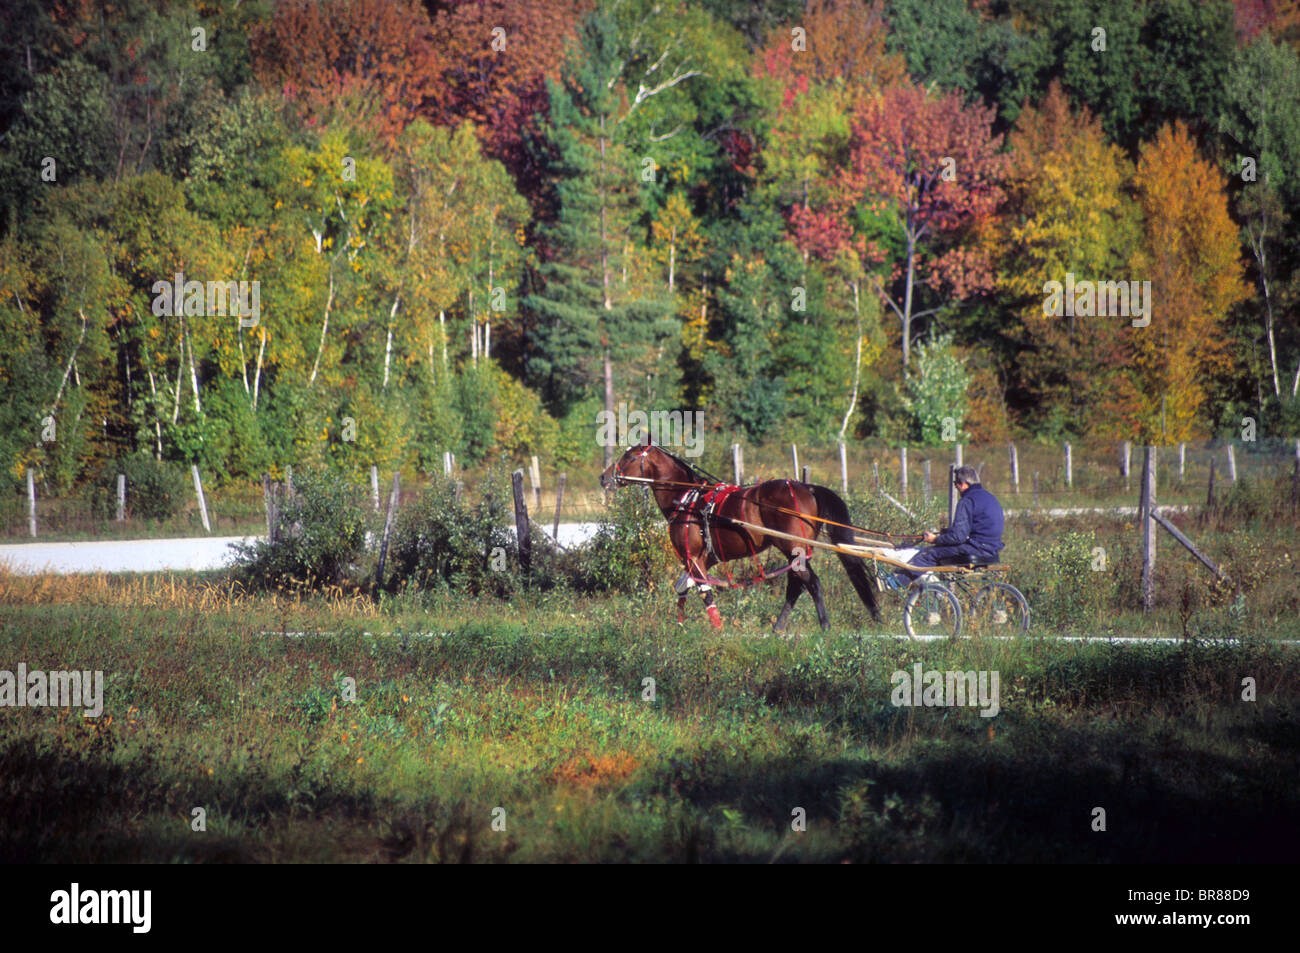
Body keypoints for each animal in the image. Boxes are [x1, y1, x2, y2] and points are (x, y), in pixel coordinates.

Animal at [599, 437, 882, 631]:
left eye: (629, 457)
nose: (604, 477)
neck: (686, 498)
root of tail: (807, 487)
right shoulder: (702, 559)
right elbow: (683, 588)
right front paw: (680, 625)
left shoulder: (692, 557)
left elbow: (705, 592)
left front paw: (718, 630)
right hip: (794, 551)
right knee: (796, 585)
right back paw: (778, 628)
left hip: (791, 547)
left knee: (811, 583)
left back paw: (824, 626)